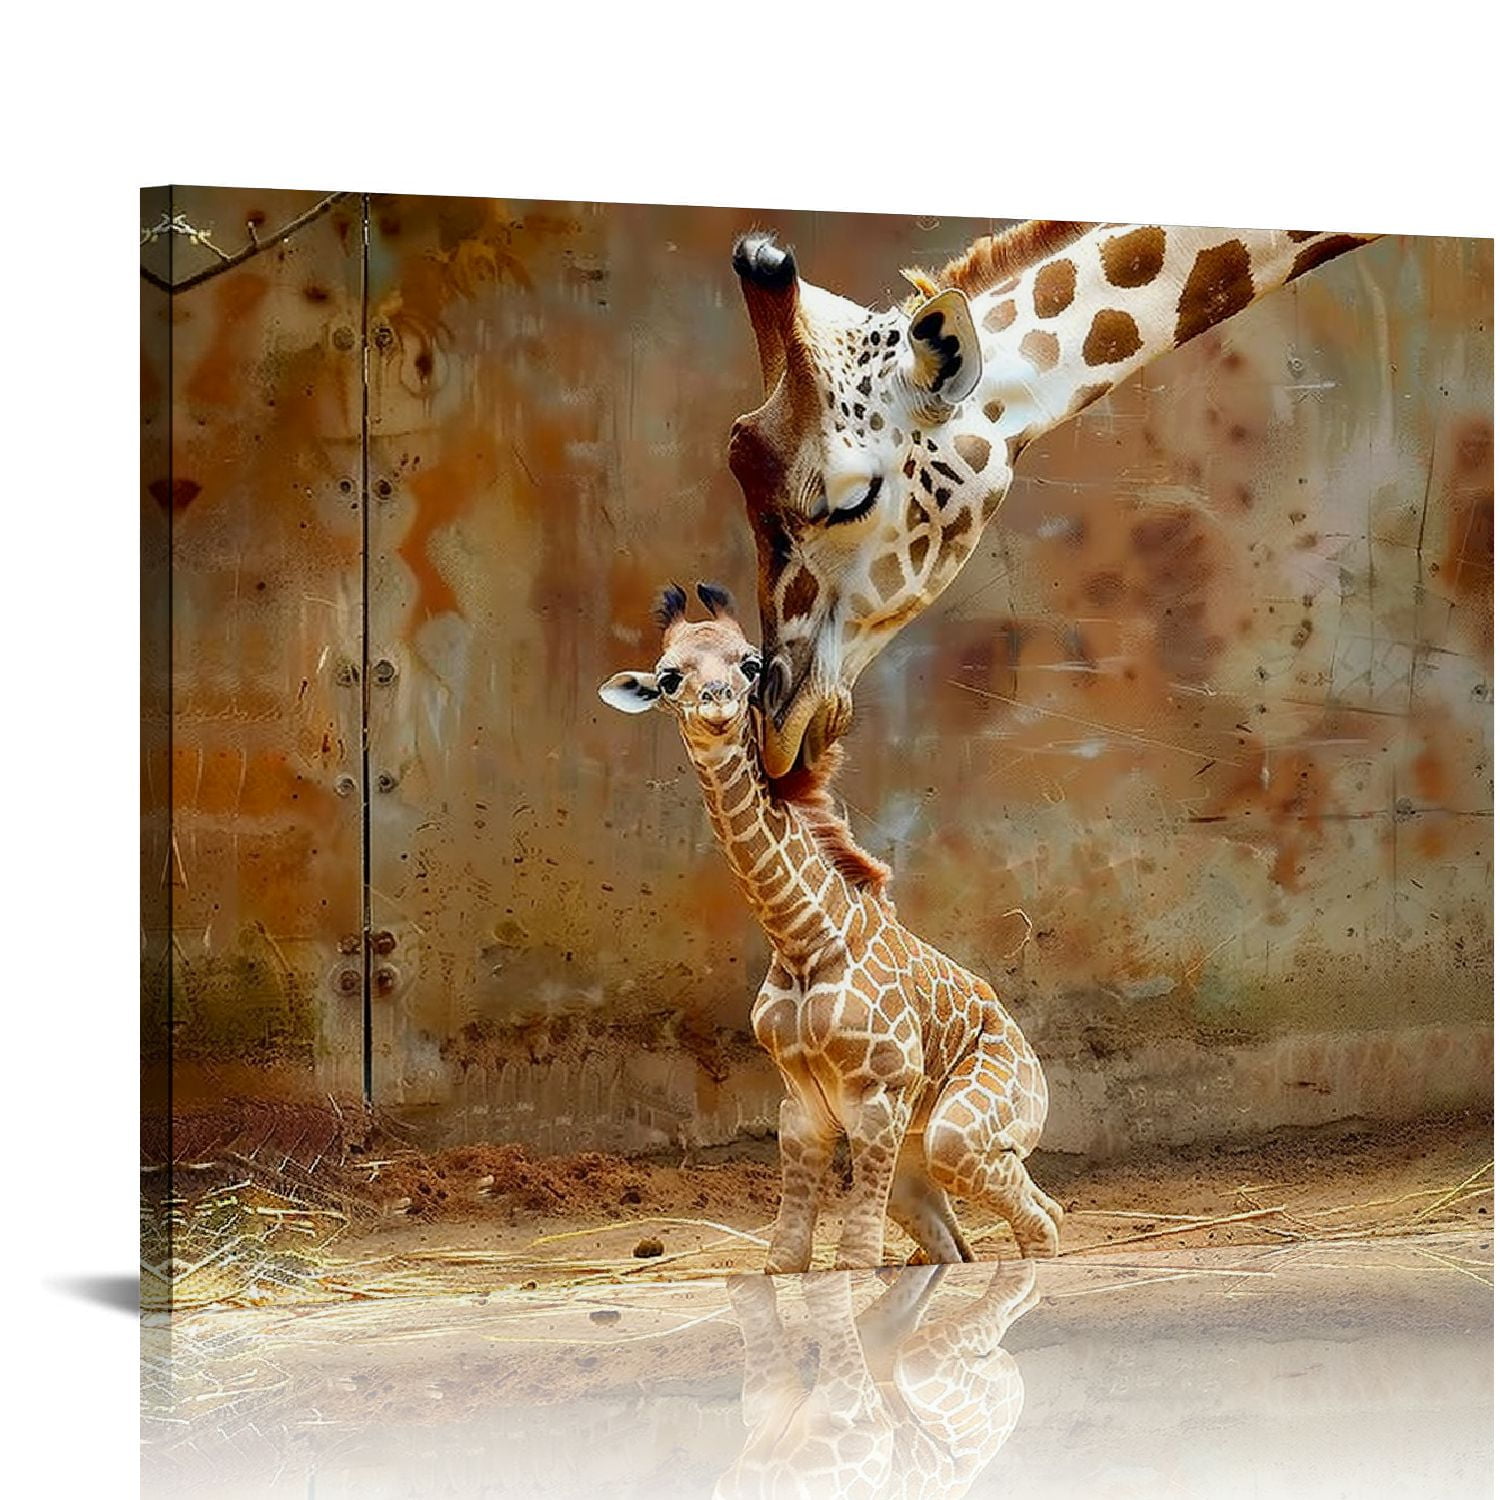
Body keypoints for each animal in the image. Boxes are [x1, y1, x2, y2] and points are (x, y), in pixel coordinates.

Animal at [599, 582, 1059, 1271]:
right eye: (670, 676)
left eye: (750, 664)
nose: (717, 705)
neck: (803, 937)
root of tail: (1030, 1058)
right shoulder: (801, 1109)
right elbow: (786, 1258)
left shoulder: (879, 1095)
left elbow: (854, 1258)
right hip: (919, 1157)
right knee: (967, 1236)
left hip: (961, 1129)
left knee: (1038, 1220)